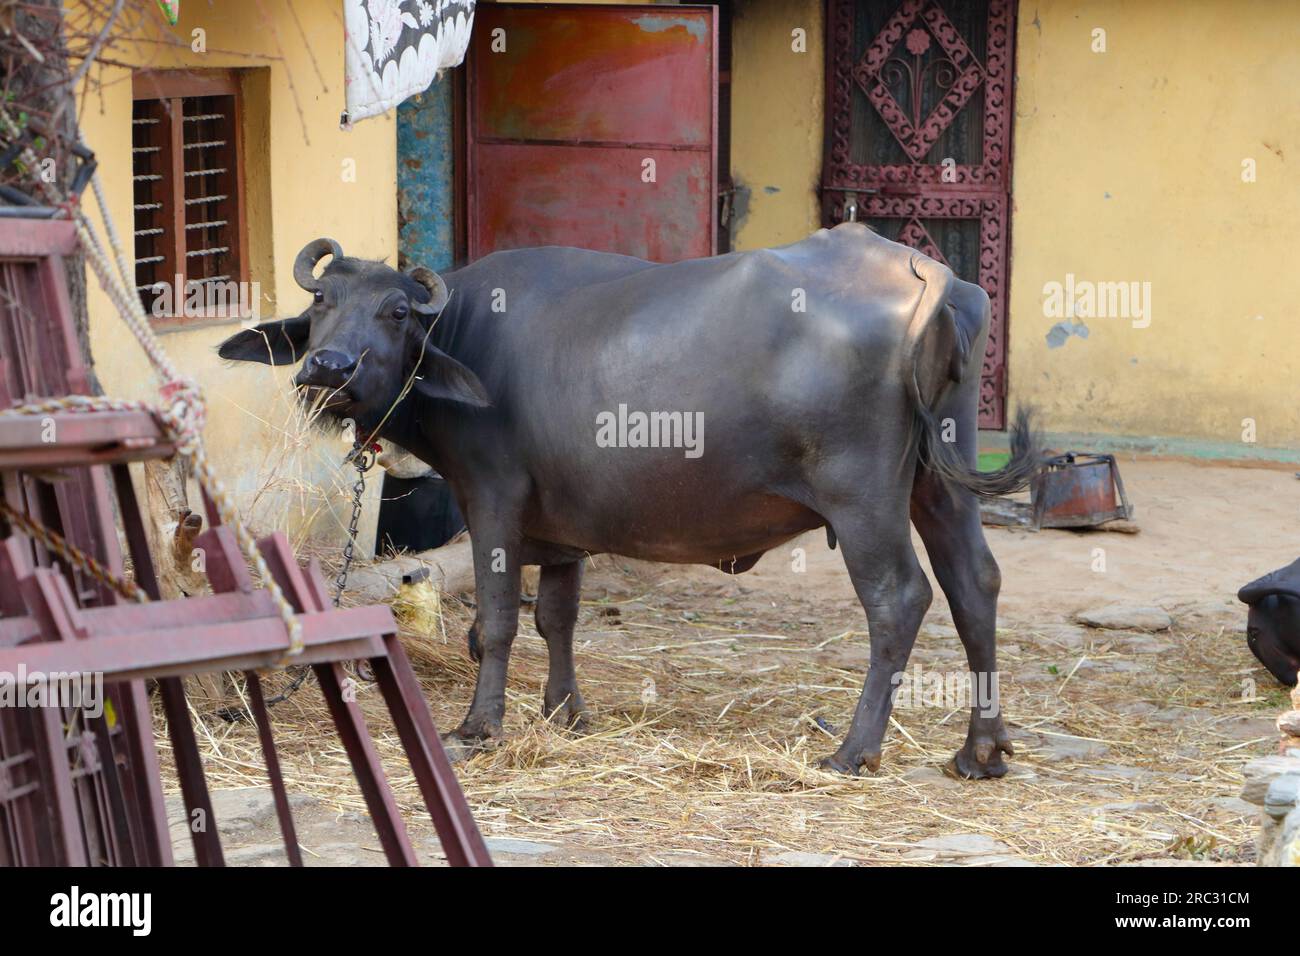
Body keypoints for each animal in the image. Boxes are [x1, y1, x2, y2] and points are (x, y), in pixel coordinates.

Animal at [218, 224, 1041, 778]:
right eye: (320, 305)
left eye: (395, 312)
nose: (328, 367)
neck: (465, 335)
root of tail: (931, 280)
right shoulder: (560, 527)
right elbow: (556, 616)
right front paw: (565, 712)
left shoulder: (493, 498)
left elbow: (495, 622)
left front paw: (479, 726)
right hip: (942, 478)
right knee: (975, 583)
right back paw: (981, 749)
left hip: (863, 497)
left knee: (899, 598)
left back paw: (854, 749)